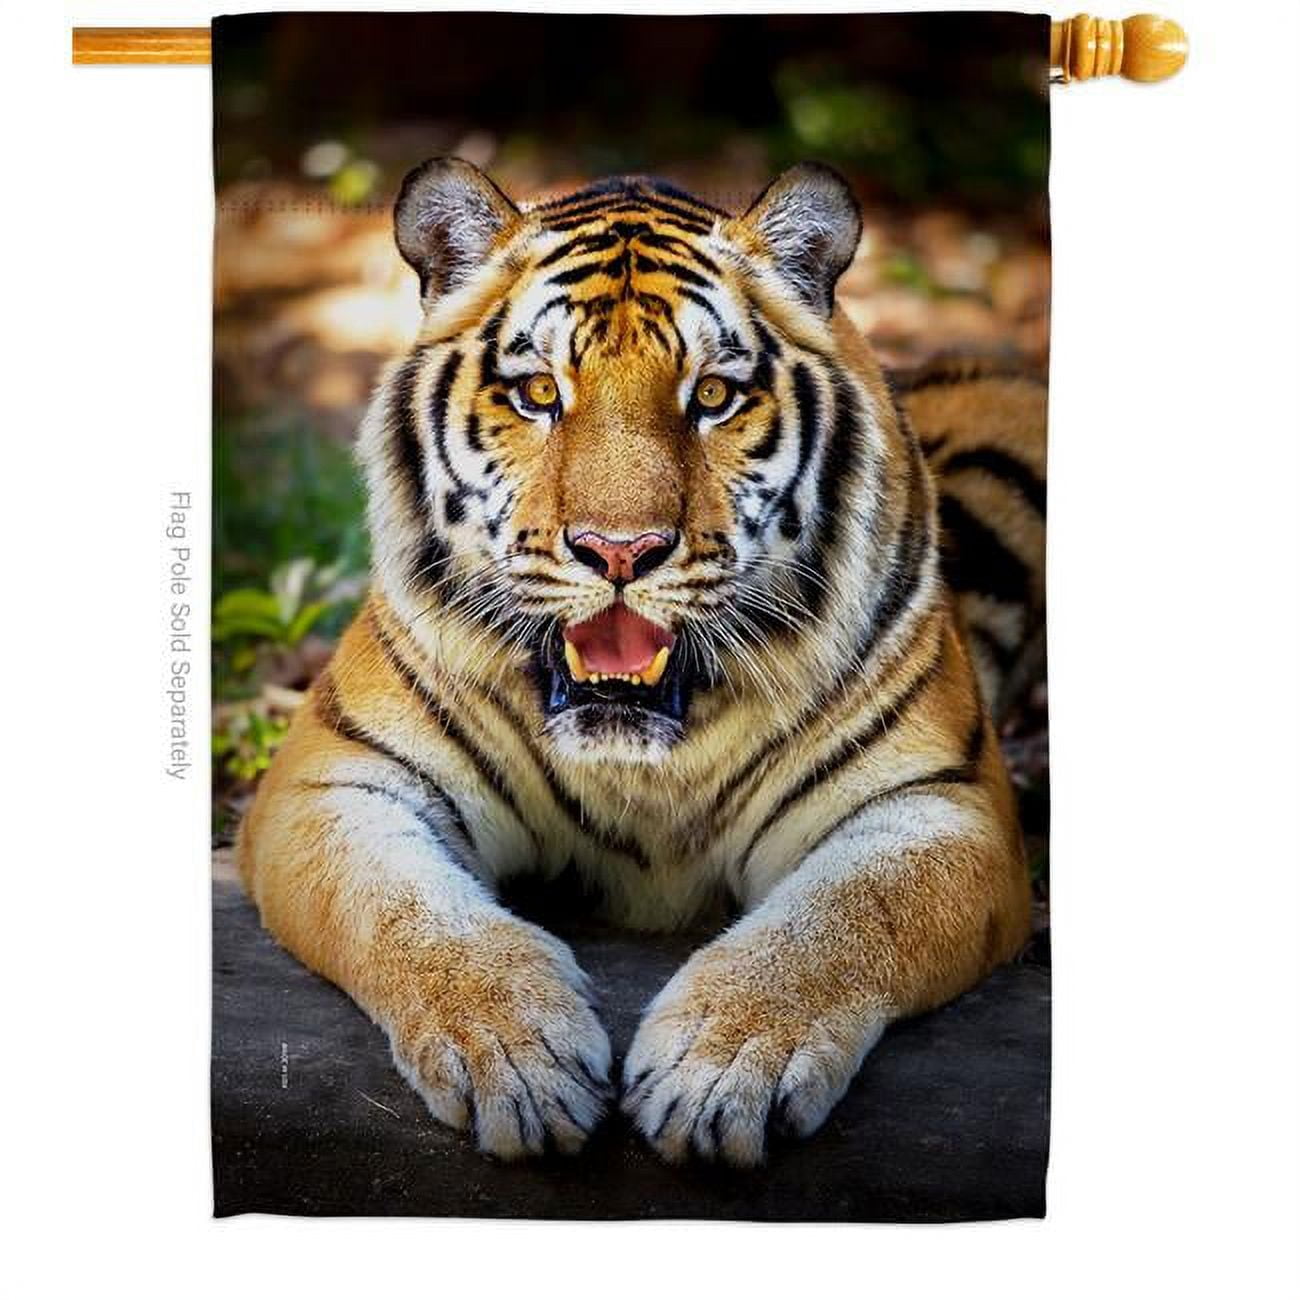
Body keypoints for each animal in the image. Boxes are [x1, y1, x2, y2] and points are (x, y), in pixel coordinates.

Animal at [237, 158, 1045, 1167]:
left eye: (713, 397)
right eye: (540, 393)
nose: (620, 552)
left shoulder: (941, 807)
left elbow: (842, 921)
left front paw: (722, 1067)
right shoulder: (335, 782)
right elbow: (406, 914)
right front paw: (518, 1054)